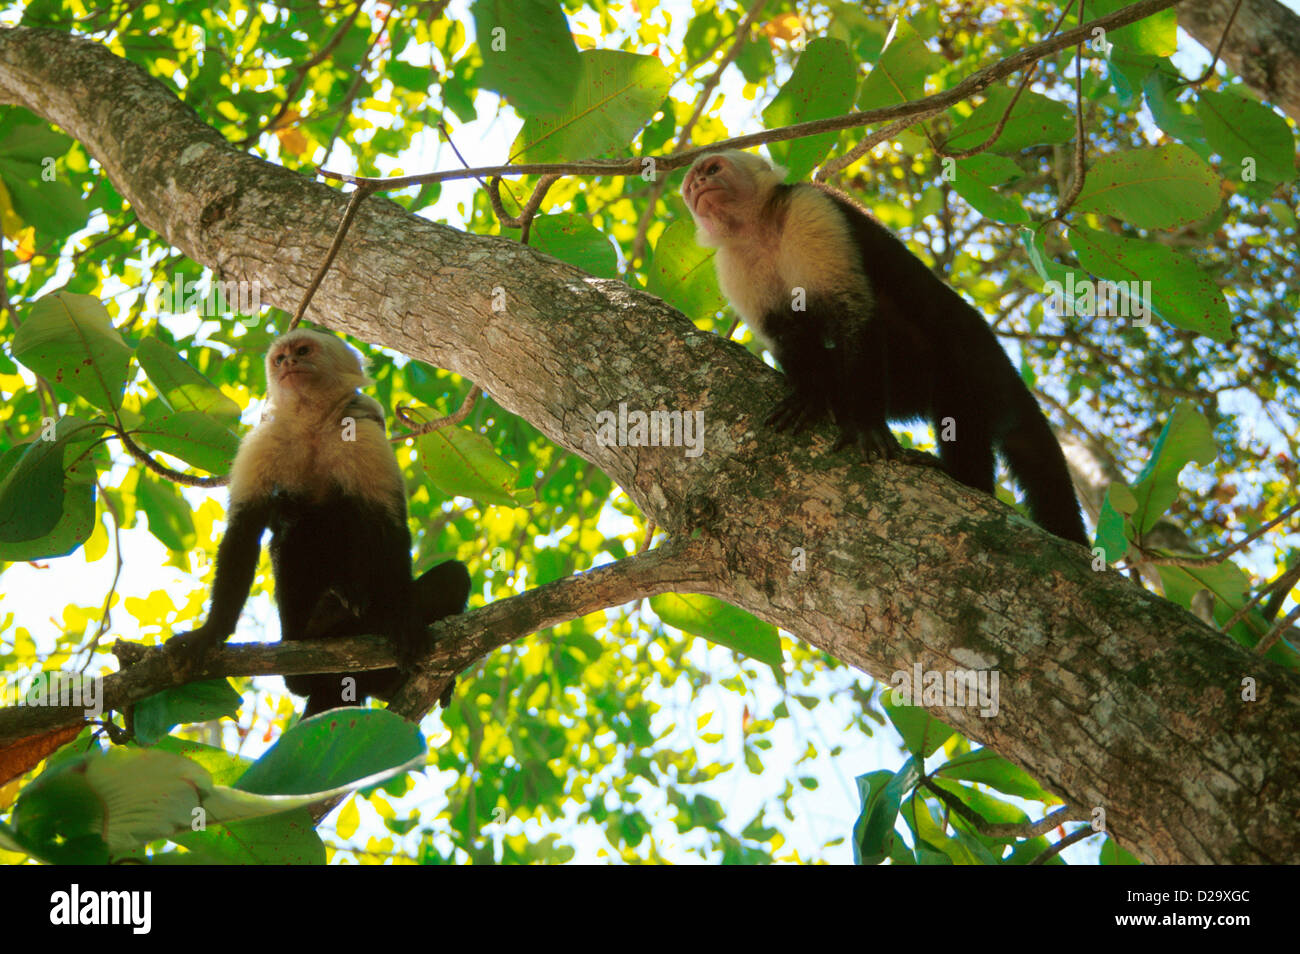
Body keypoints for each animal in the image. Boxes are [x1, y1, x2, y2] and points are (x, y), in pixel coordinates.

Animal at [167, 328, 471, 717]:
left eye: (302, 351)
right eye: (280, 359)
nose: (289, 364)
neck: (313, 424)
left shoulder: (362, 432)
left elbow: (388, 523)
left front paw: (403, 620)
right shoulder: (262, 441)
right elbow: (244, 530)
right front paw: (211, 632)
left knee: (449, 575)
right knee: (295, 522)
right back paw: (319, 628)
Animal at [681, 150, 1088, 546]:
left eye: (713, 169)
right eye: (691, 184)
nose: (698, 184)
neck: (759, 228)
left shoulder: (810, 210)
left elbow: (854, 313)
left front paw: (864, 425)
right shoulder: (732, 264)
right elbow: (786, 335)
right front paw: (810, 394)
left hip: (971, 359)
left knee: (955, 391)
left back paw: (966, 478)